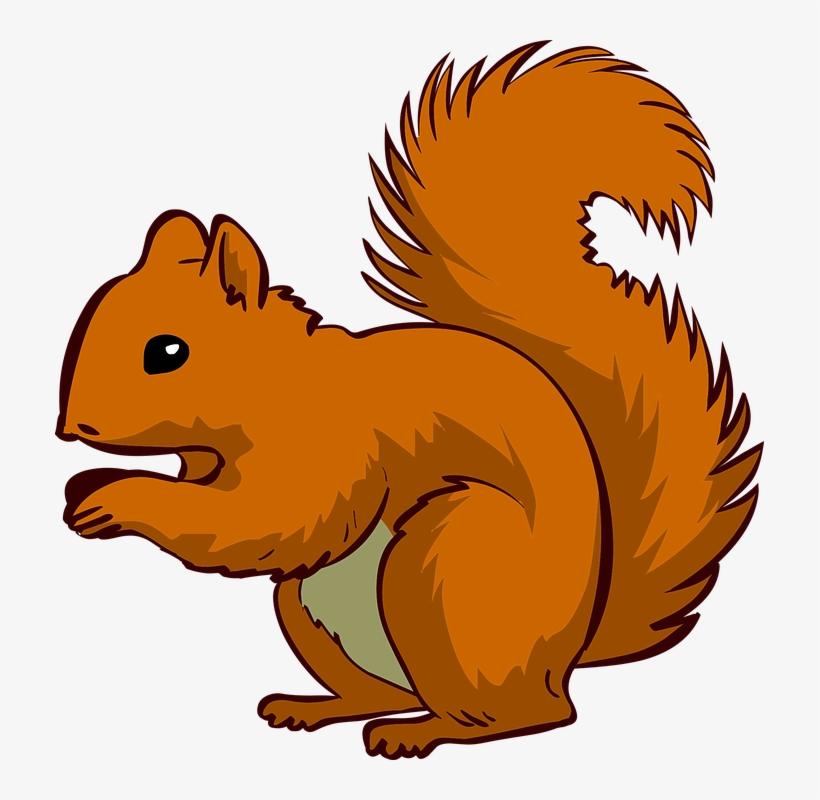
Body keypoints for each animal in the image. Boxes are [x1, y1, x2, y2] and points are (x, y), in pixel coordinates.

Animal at [57, 42, 762, 759]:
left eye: (167, 352)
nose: (70, 427)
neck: (279, 384)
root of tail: (567, 653)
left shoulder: (330, 451)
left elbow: (264, 522)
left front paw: (114, 495)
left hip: (445, 567)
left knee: (528, 715)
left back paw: (422, 732)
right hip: (308, 608)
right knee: (391, 694)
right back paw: (320, 708)